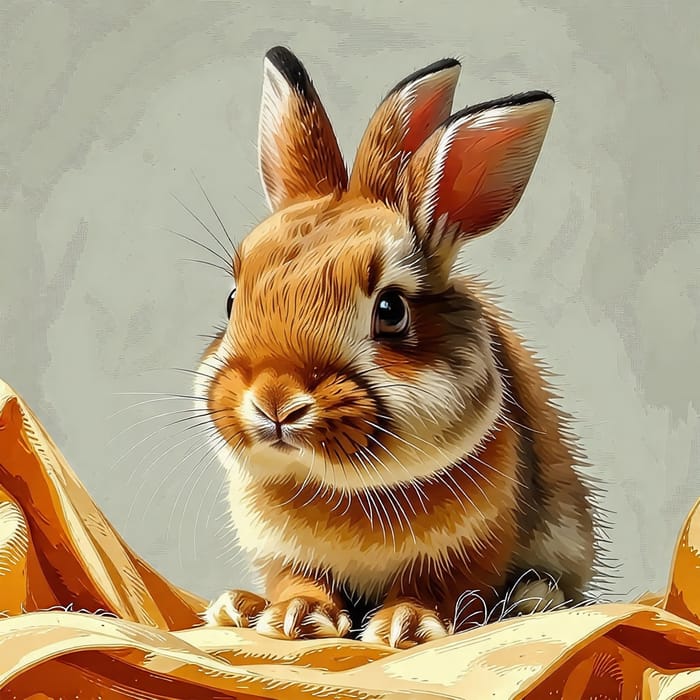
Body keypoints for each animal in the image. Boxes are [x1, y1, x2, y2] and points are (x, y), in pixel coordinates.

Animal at [194, 46, 599, 649]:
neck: (339, 489)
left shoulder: (470, 547)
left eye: (390, 311)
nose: (275, 401)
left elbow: (437, 587)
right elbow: (299, 581)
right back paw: (236, 608)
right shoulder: (282, 552)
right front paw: (293, 618)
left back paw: (531, 600)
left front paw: (405, 627)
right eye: (230, 300)